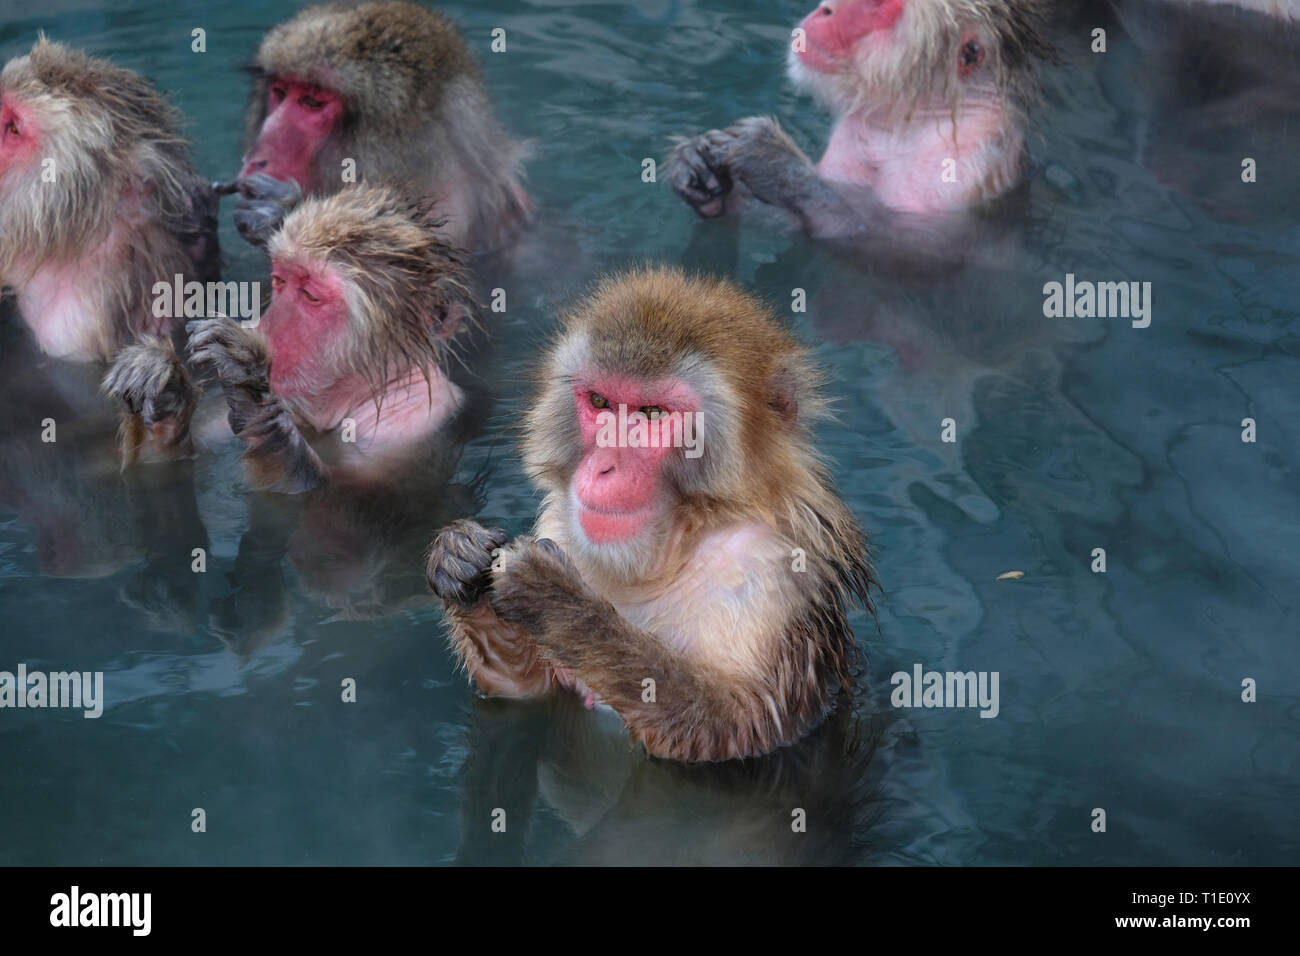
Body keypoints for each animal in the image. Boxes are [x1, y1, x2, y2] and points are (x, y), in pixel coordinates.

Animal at [427, 267, 877, 763]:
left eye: (653, 413)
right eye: (599, 403)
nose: (604, 466)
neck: (671, 548)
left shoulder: (769, 570)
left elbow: (741, 726)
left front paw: (563, 605)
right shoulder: (559, 523)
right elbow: (529, 691)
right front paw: (460, 557)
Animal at [665, 0, 1055, 239]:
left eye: (876, 4)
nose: (826, 9)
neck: (907, 121)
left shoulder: (964, 165)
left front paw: (772, 161)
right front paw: (697, 167)